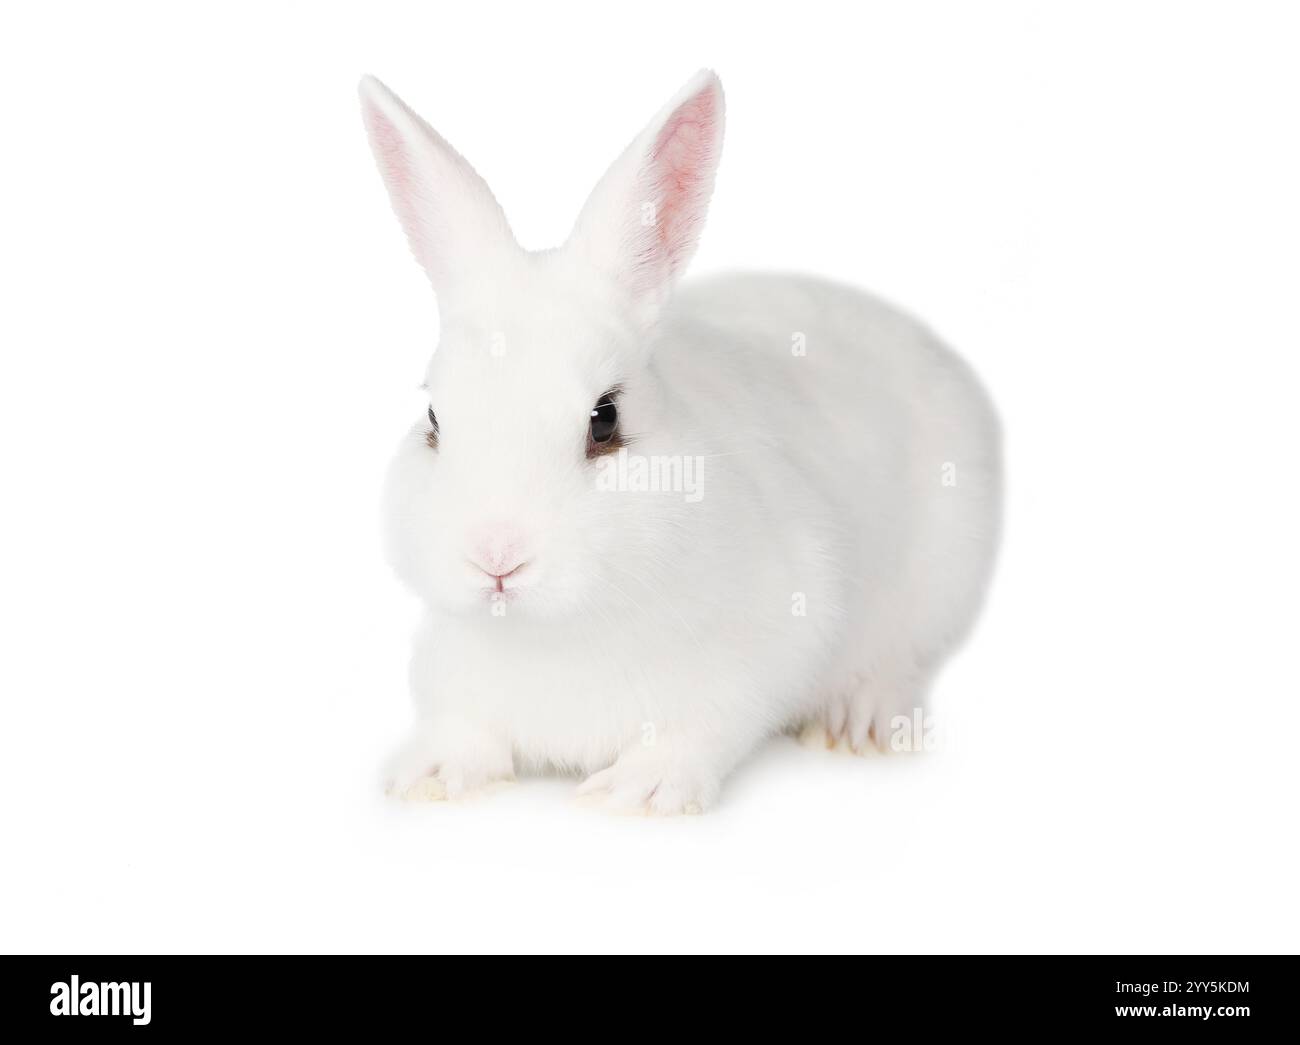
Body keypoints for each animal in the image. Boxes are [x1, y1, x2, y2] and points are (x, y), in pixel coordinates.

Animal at [360, 69, 1001, 814]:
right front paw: (428, 774)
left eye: (605, 419)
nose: (497, 556)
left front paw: (638, 791)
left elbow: (699, 727)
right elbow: (461, 725)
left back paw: (860, 722)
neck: (555, 630)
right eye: (435, 418)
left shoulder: (761, 650)